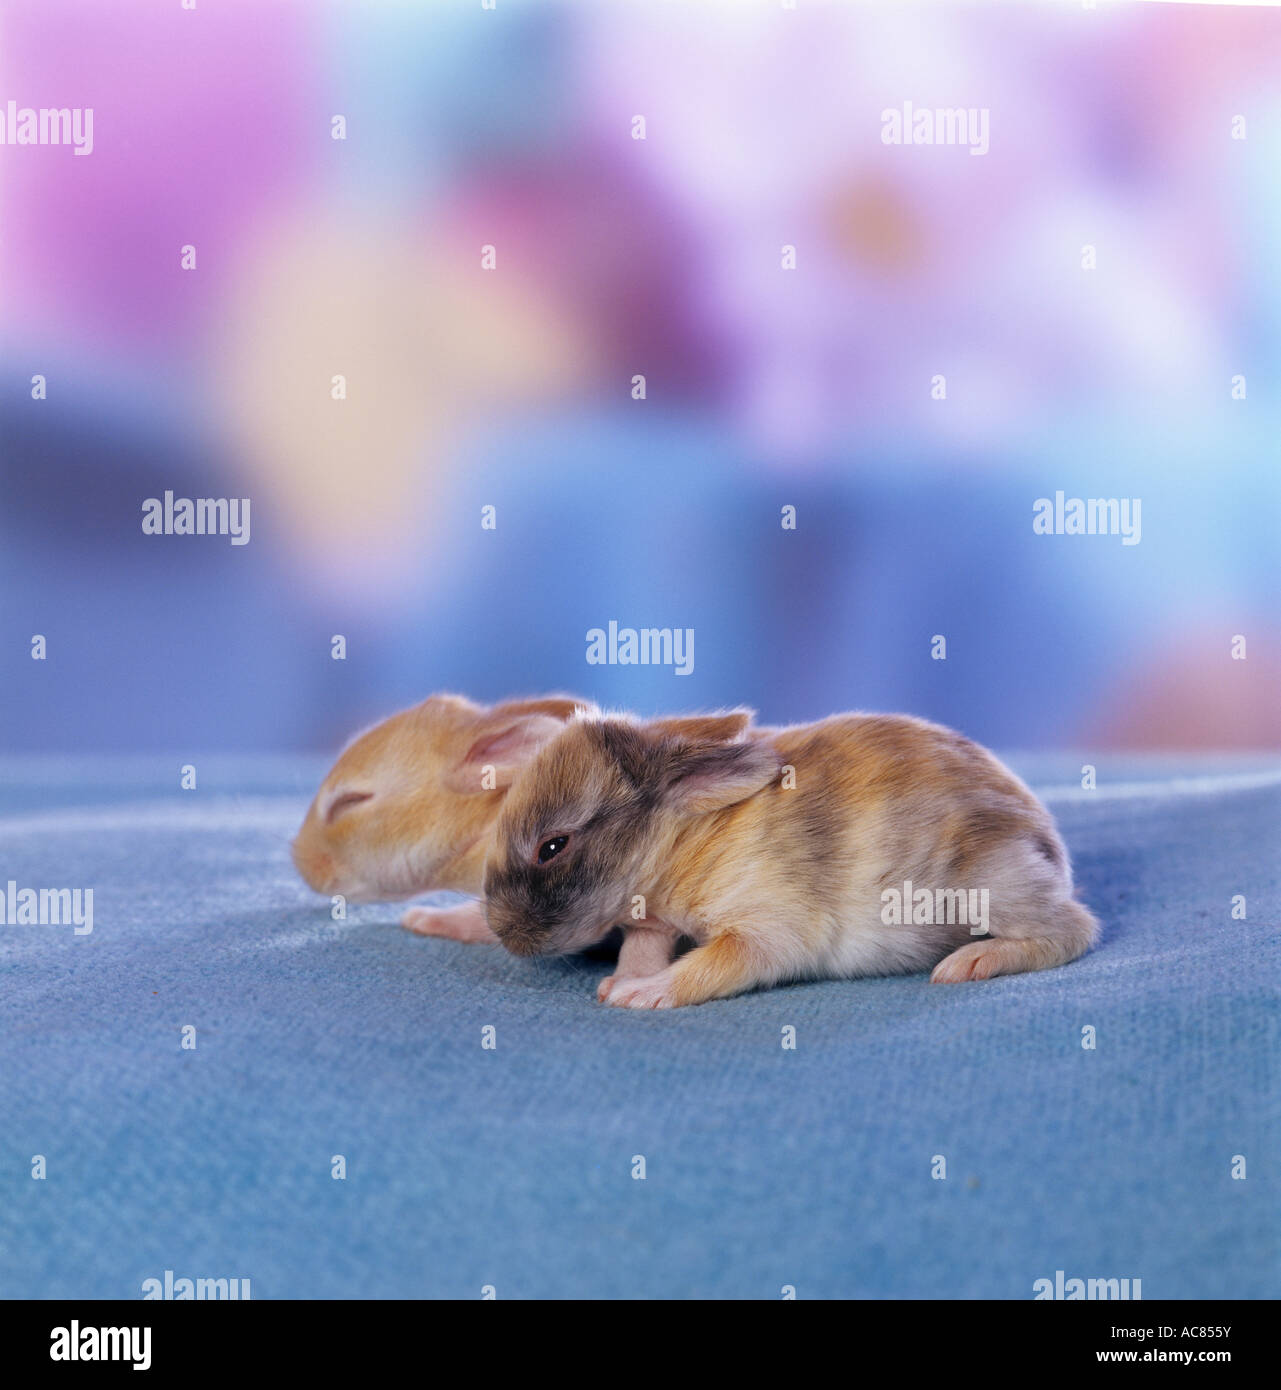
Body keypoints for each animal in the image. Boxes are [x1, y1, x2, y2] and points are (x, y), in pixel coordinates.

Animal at [482, 710, 1100, 1008]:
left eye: (552, 846)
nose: (502, 932)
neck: (684, 840)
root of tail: (1047, 846)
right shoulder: (652, 921)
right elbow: (642, 945)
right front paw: (618, 984)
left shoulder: (765, 930)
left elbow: (712, 963)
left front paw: (642, 996)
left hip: (993, 887)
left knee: (1076, 929)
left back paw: (969, 964)